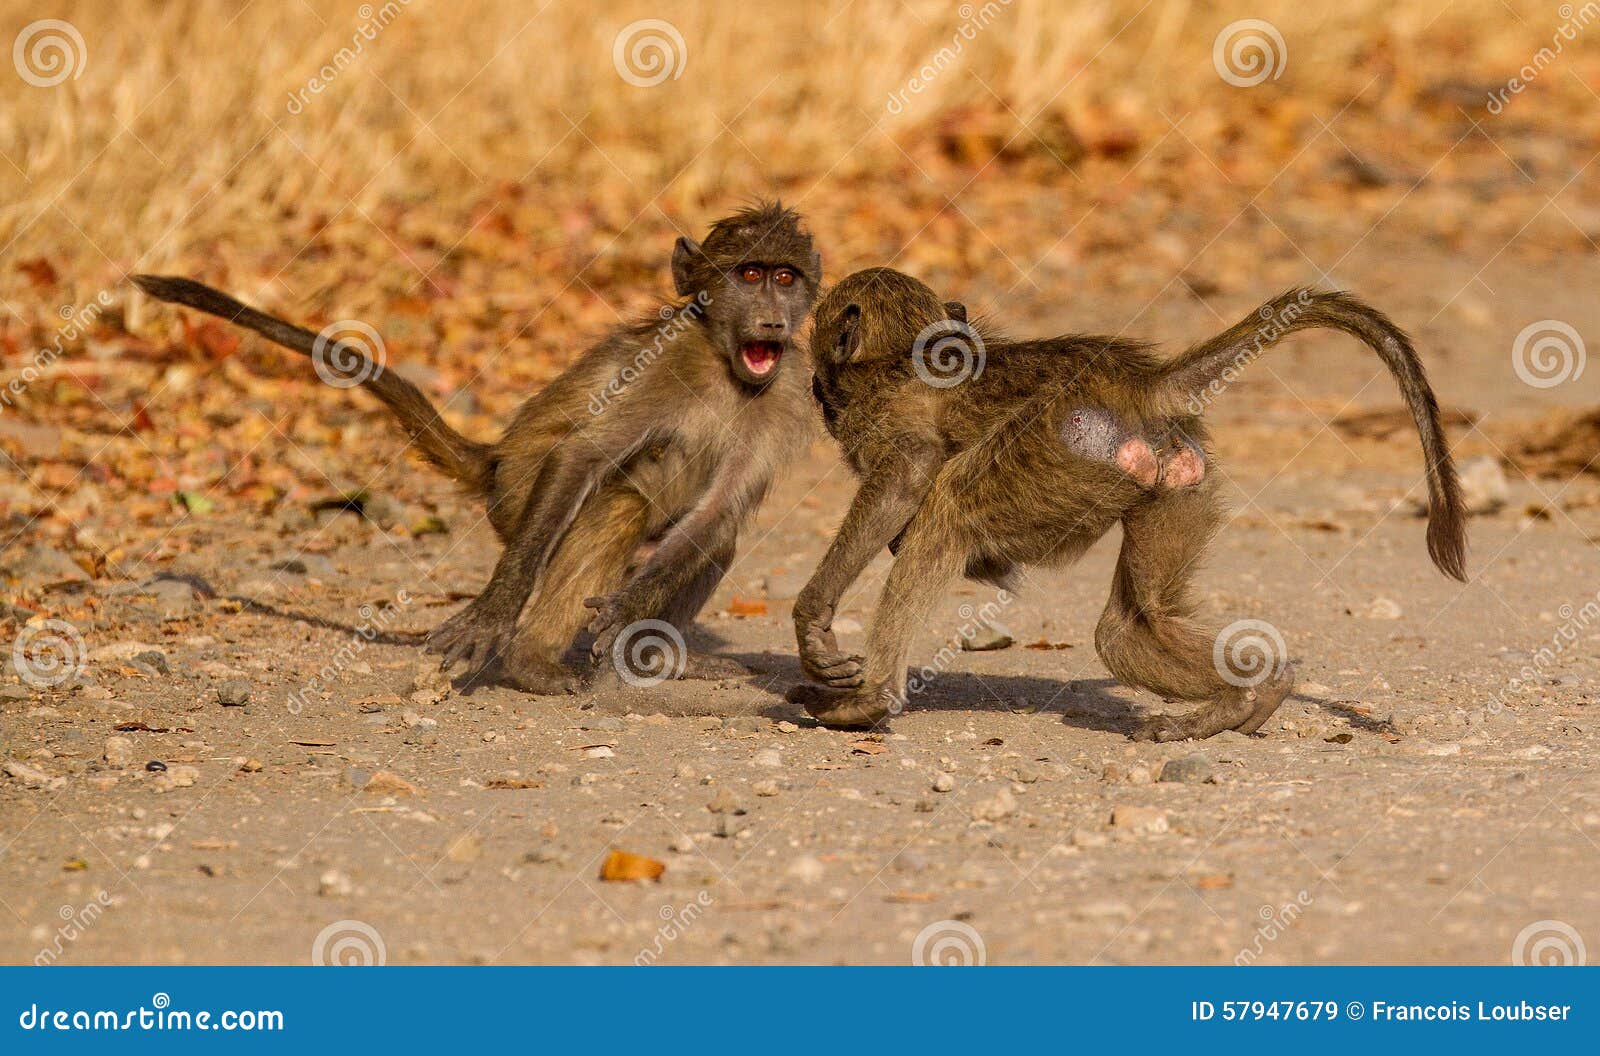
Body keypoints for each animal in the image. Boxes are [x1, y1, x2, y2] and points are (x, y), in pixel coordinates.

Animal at [132, 201, 821, 692]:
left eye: (785, 278)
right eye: (750, 274)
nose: (772, 320)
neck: (724, 364)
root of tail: (494, 461)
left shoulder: (788, 389)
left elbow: (719, 511)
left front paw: (630, 611)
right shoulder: (665, 363)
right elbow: (582, 457)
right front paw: (495, 614)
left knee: (712, 532)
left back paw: (663, 658)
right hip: (515, 504)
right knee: (615, 504)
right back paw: (530, 663)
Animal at [791, 267, 1466, 741]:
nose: (817, 395)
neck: (899, 352)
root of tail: (1143, 384)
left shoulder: (888, 423)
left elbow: (907, 477)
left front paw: (814, 623)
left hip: (1064, 447)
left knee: (950, 509)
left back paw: (871, 700)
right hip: (1179, 474)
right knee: (1133, 625)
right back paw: (1251, 695)